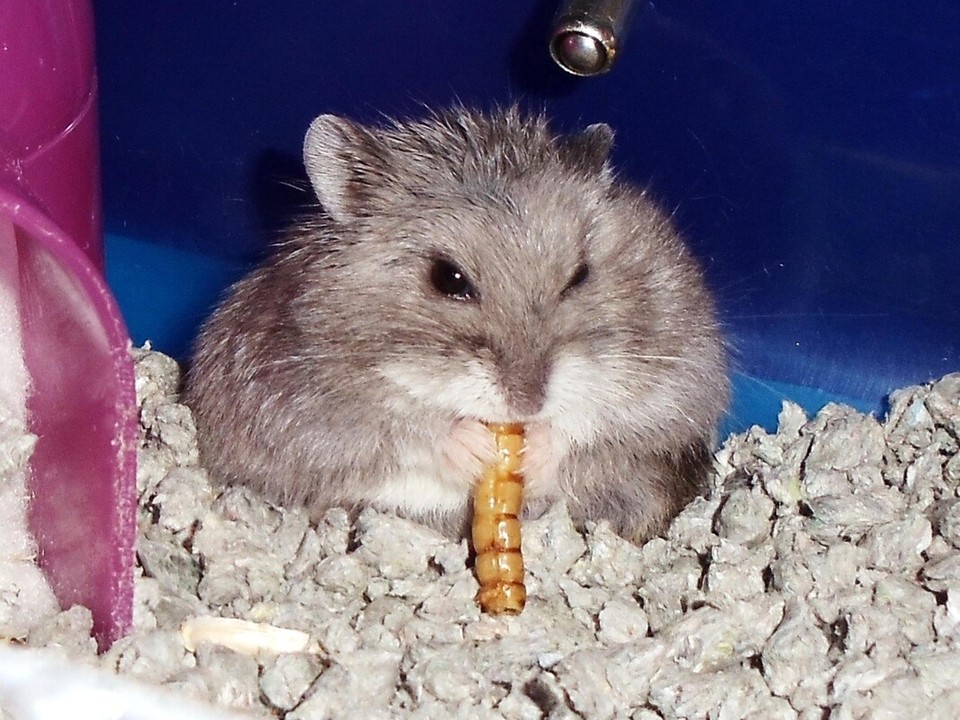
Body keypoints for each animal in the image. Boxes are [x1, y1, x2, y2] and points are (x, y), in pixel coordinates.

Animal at [182, 106, 729, 544]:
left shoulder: (679, 376)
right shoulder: (303, 411)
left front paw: (537, 446)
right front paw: (472, 444)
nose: (528, 403)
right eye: (447, 278)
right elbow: (404, 430)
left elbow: (605, 421)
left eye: (580, 275)